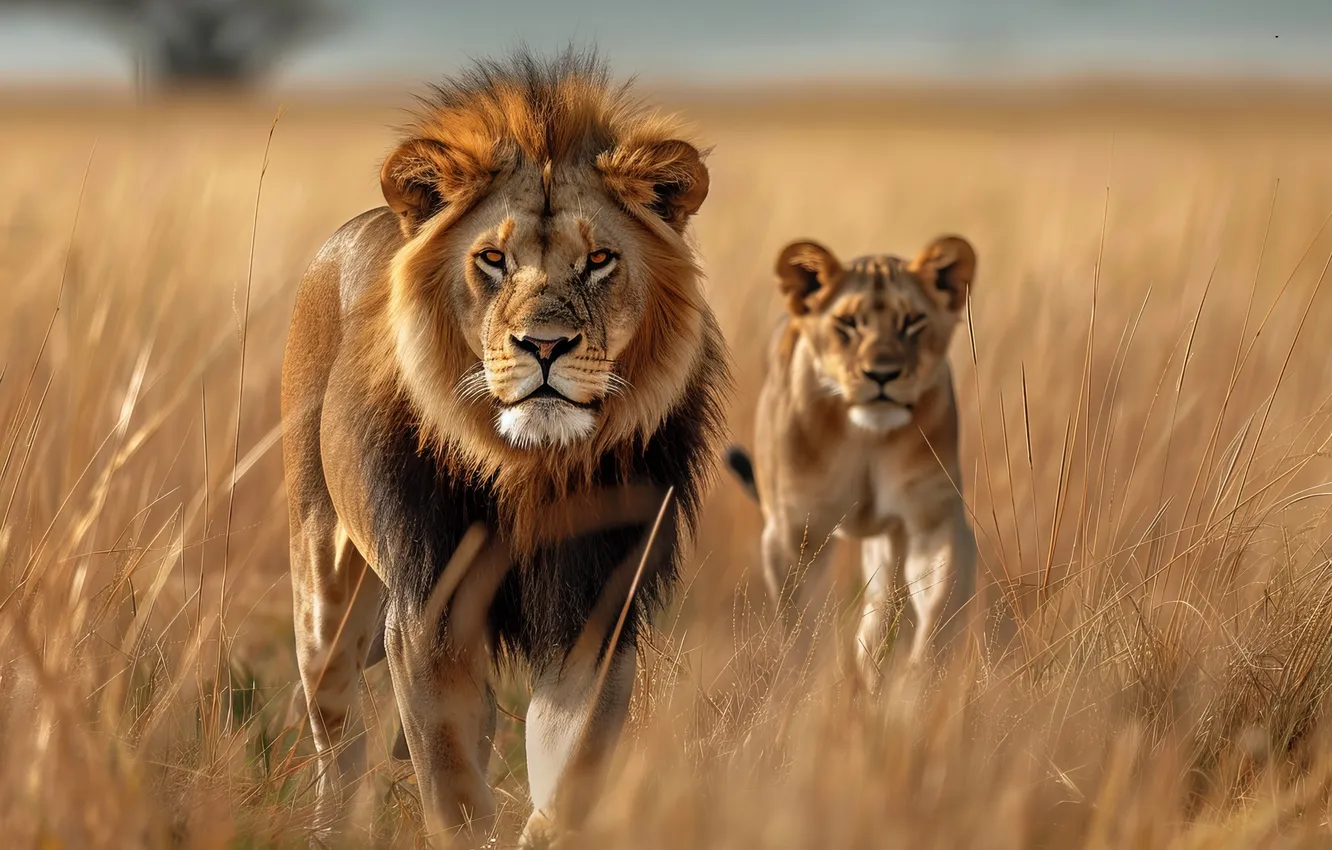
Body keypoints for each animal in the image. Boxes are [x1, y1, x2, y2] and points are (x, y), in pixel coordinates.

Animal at [280, 51, 729, 847]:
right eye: (492, 259)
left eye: (600, 260)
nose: (544, 346)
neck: (531, 467)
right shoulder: (428, 613)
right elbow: (452, 785)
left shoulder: (595, 614)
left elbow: (569, 776)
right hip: (321, 584)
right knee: (338, 735)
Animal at [725, 236, 977, 686]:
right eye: (847, 324)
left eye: (913, 321)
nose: (882, 374)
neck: (866, 438)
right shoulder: (794, 533)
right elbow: (800, 628)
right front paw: (803, 689)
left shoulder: (933, 521)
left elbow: (939, 606)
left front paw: (917, 683)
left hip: (889, 545)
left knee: (882, 613)